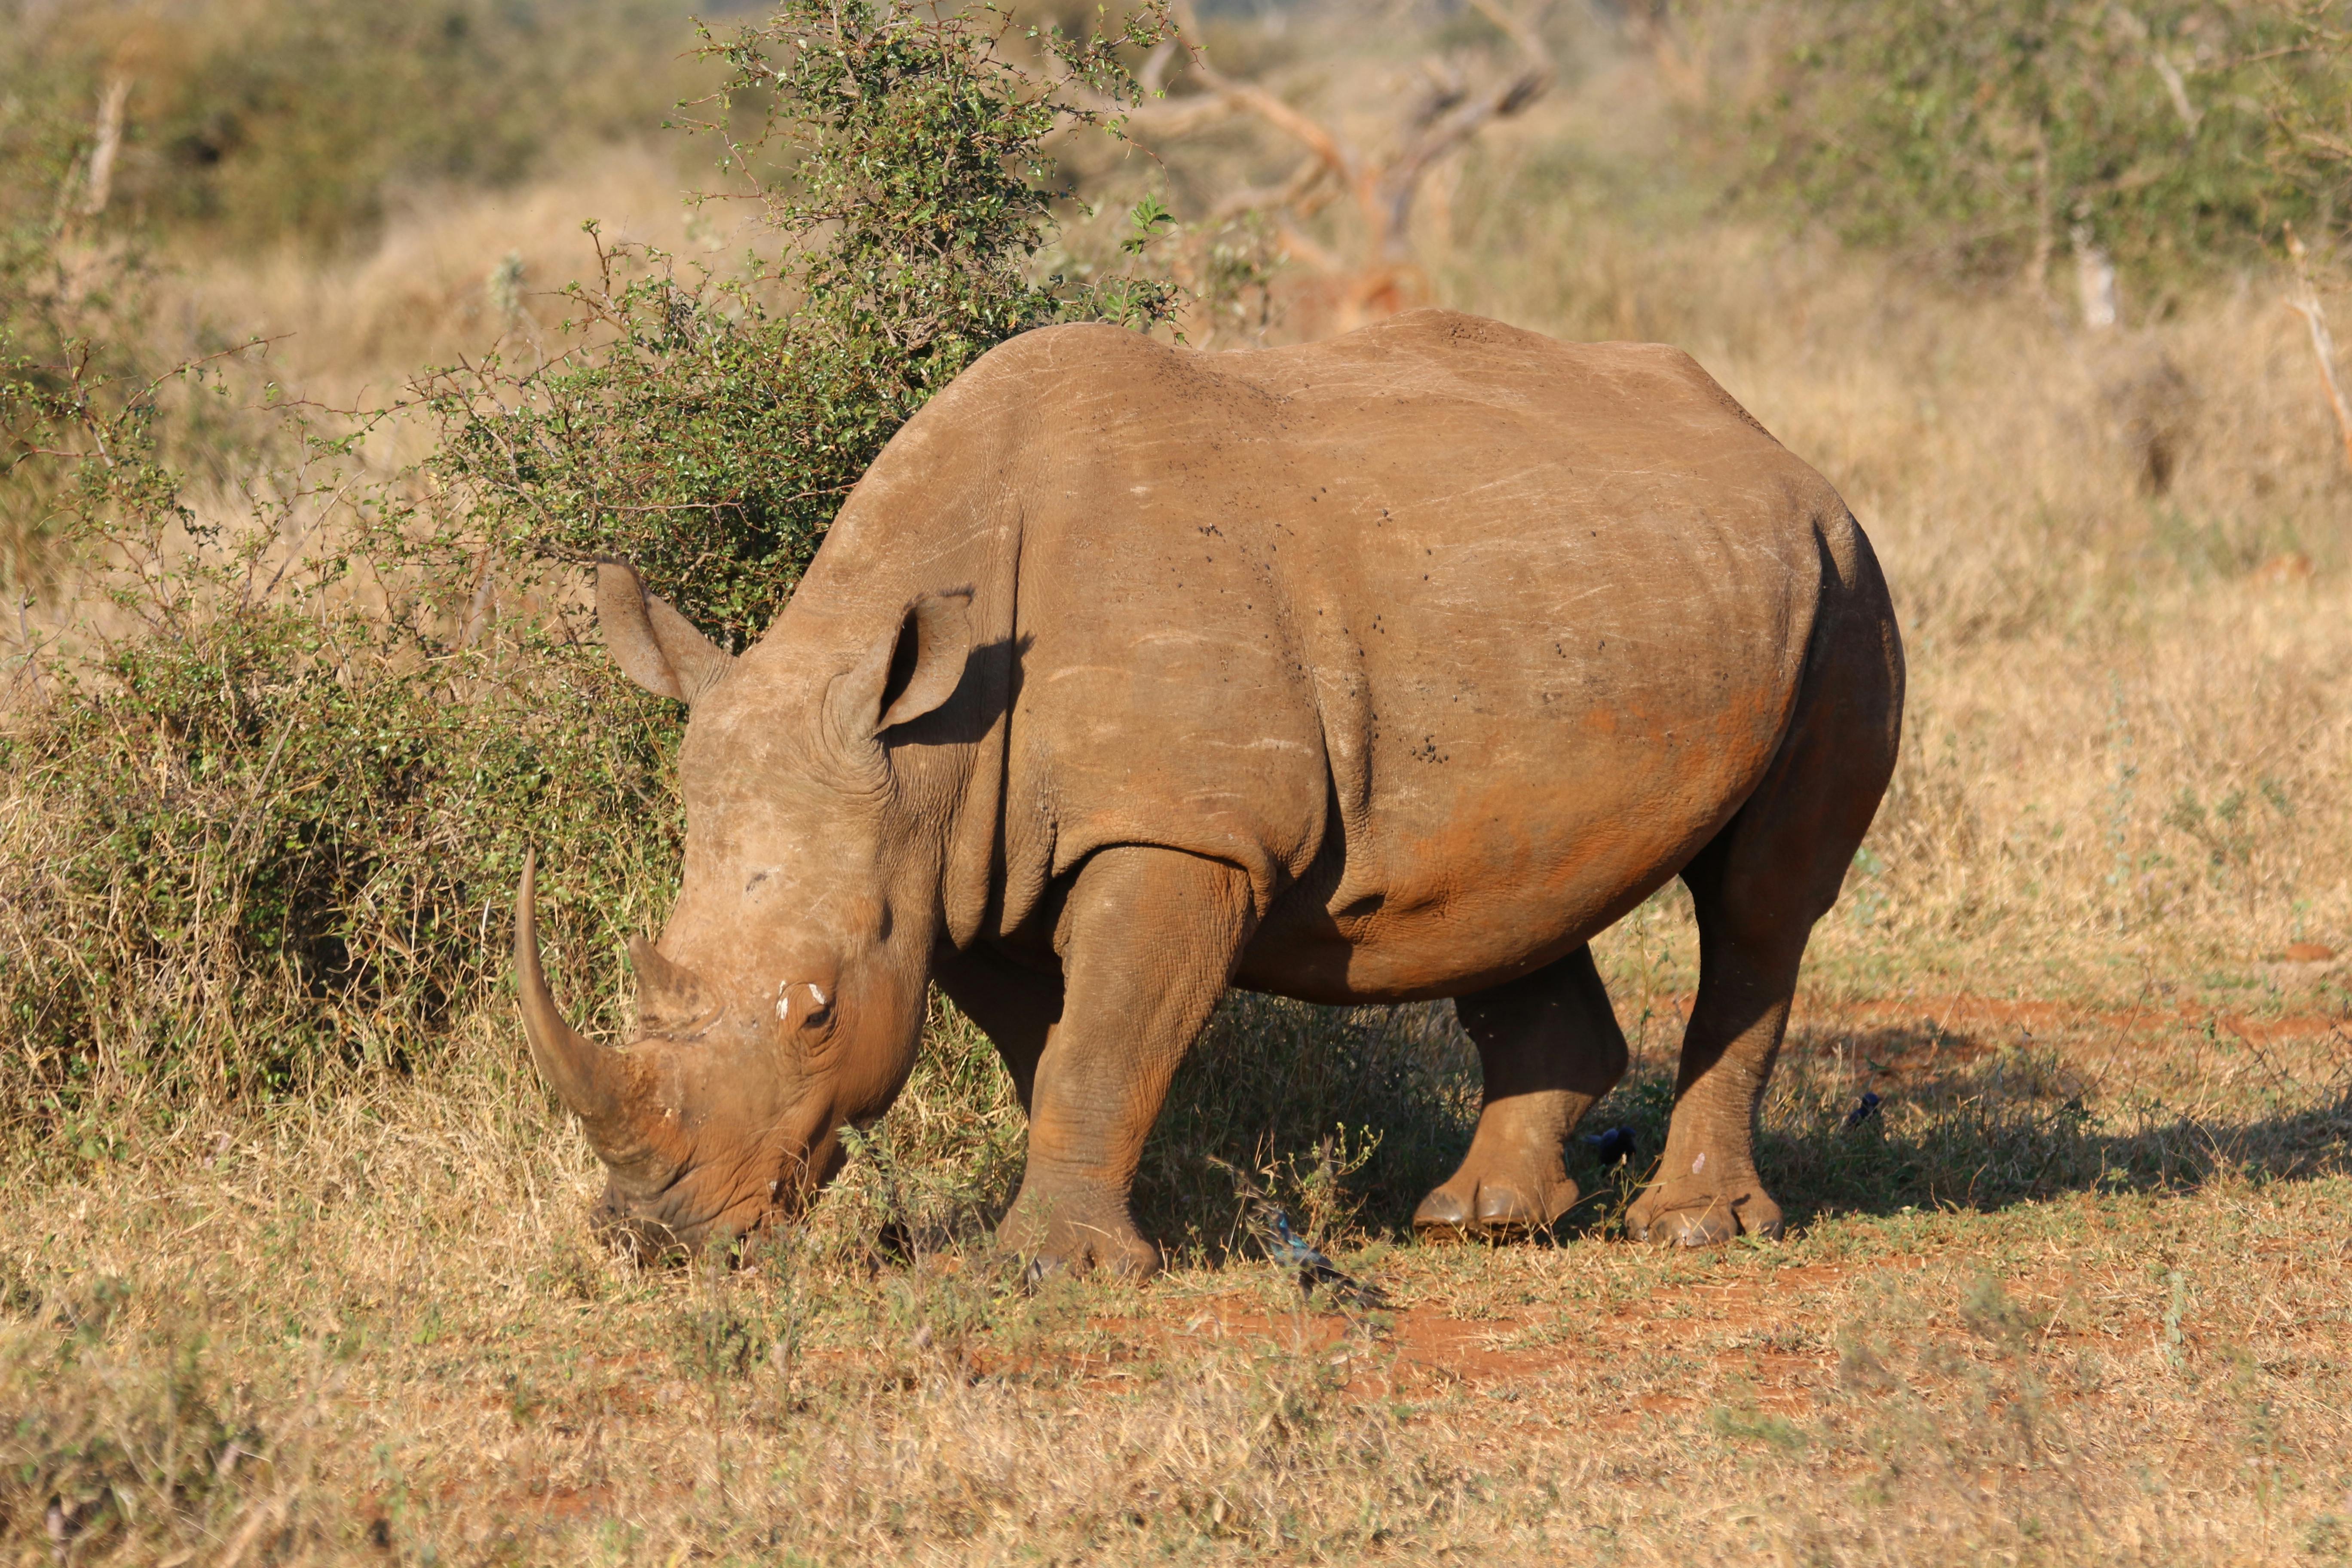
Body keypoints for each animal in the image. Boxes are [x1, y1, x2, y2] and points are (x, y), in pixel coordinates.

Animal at [515, 308, 1903, 1271]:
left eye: (816, 1014)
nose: (657, 1233)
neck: (927, 751)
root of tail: (1772, 444)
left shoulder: (1180, 832)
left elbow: (1102, 1034)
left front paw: (1048, 1267)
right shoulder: (964, 867)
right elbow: (1058, 1044)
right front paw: (1134, 1223)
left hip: (1841, 579)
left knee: (1761, 908)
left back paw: (1690, 1229)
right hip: (1572, 596)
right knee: (1513, 883)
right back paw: (1481, 1221)